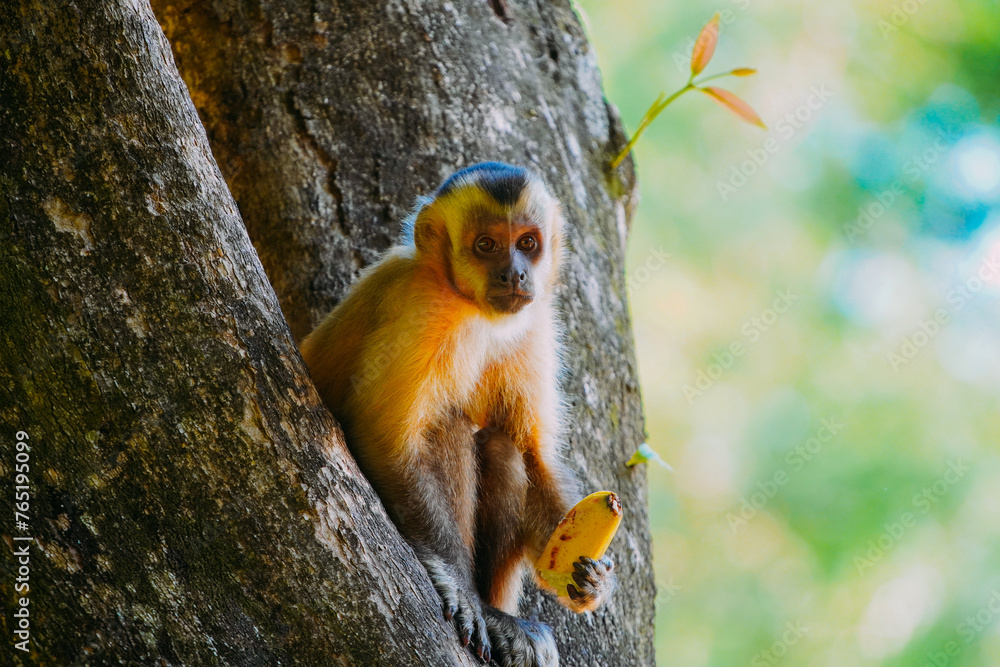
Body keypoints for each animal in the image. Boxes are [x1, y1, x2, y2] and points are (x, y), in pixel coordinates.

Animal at [299, 162, 616, 667]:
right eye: (486, 245)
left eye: (528, 242)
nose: (514, 274)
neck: (470, 307)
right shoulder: (420, 306)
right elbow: (384, 439)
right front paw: (456, 581)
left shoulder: (535, 323)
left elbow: (533, 457)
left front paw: (595, 580)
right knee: (446, 425)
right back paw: (490, 614)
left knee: (502, 448)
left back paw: (502, 617)